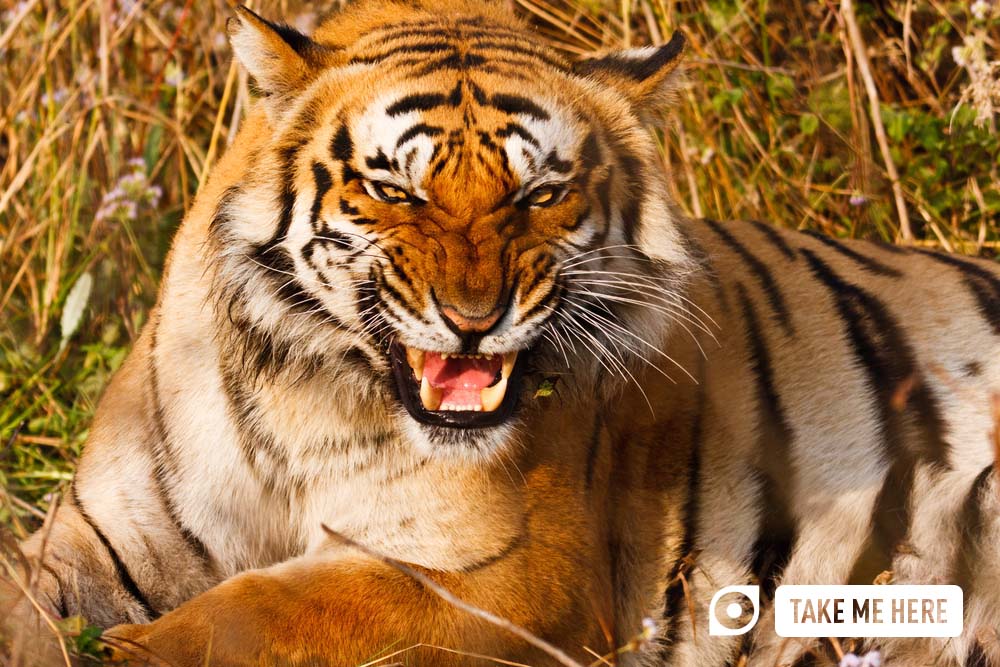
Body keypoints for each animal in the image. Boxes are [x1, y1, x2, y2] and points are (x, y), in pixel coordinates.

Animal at [4, 1, 999, 666]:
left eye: (541, 193)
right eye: (393, 190)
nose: (474, 321)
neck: (304, 391)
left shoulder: (495, 573)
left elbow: (253, 613)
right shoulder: (94, 537)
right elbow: (22, 603)